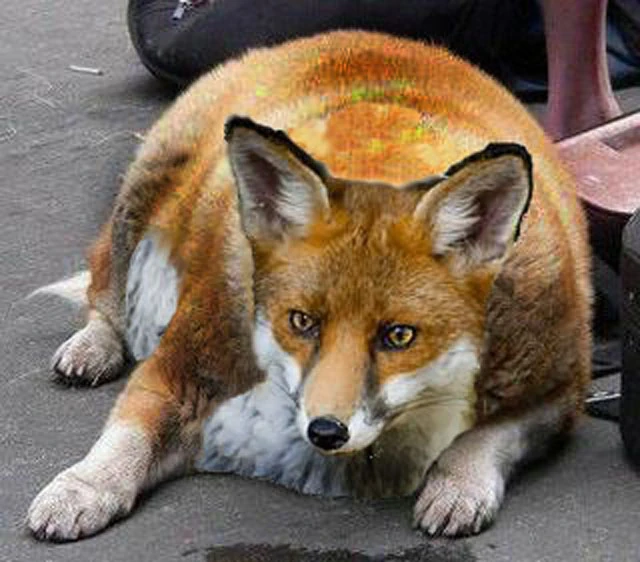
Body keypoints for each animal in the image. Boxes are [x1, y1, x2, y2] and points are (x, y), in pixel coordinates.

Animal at [27, 30, 591, 541]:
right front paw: (84, 487)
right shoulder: (179, 373)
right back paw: (95, 343)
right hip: (144, 190)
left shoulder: (558, 395)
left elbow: (480, 440)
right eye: (301, 322)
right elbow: (125, 438)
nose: (325, 432)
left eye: (399, 335)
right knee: (105, 285)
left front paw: (457, 484)